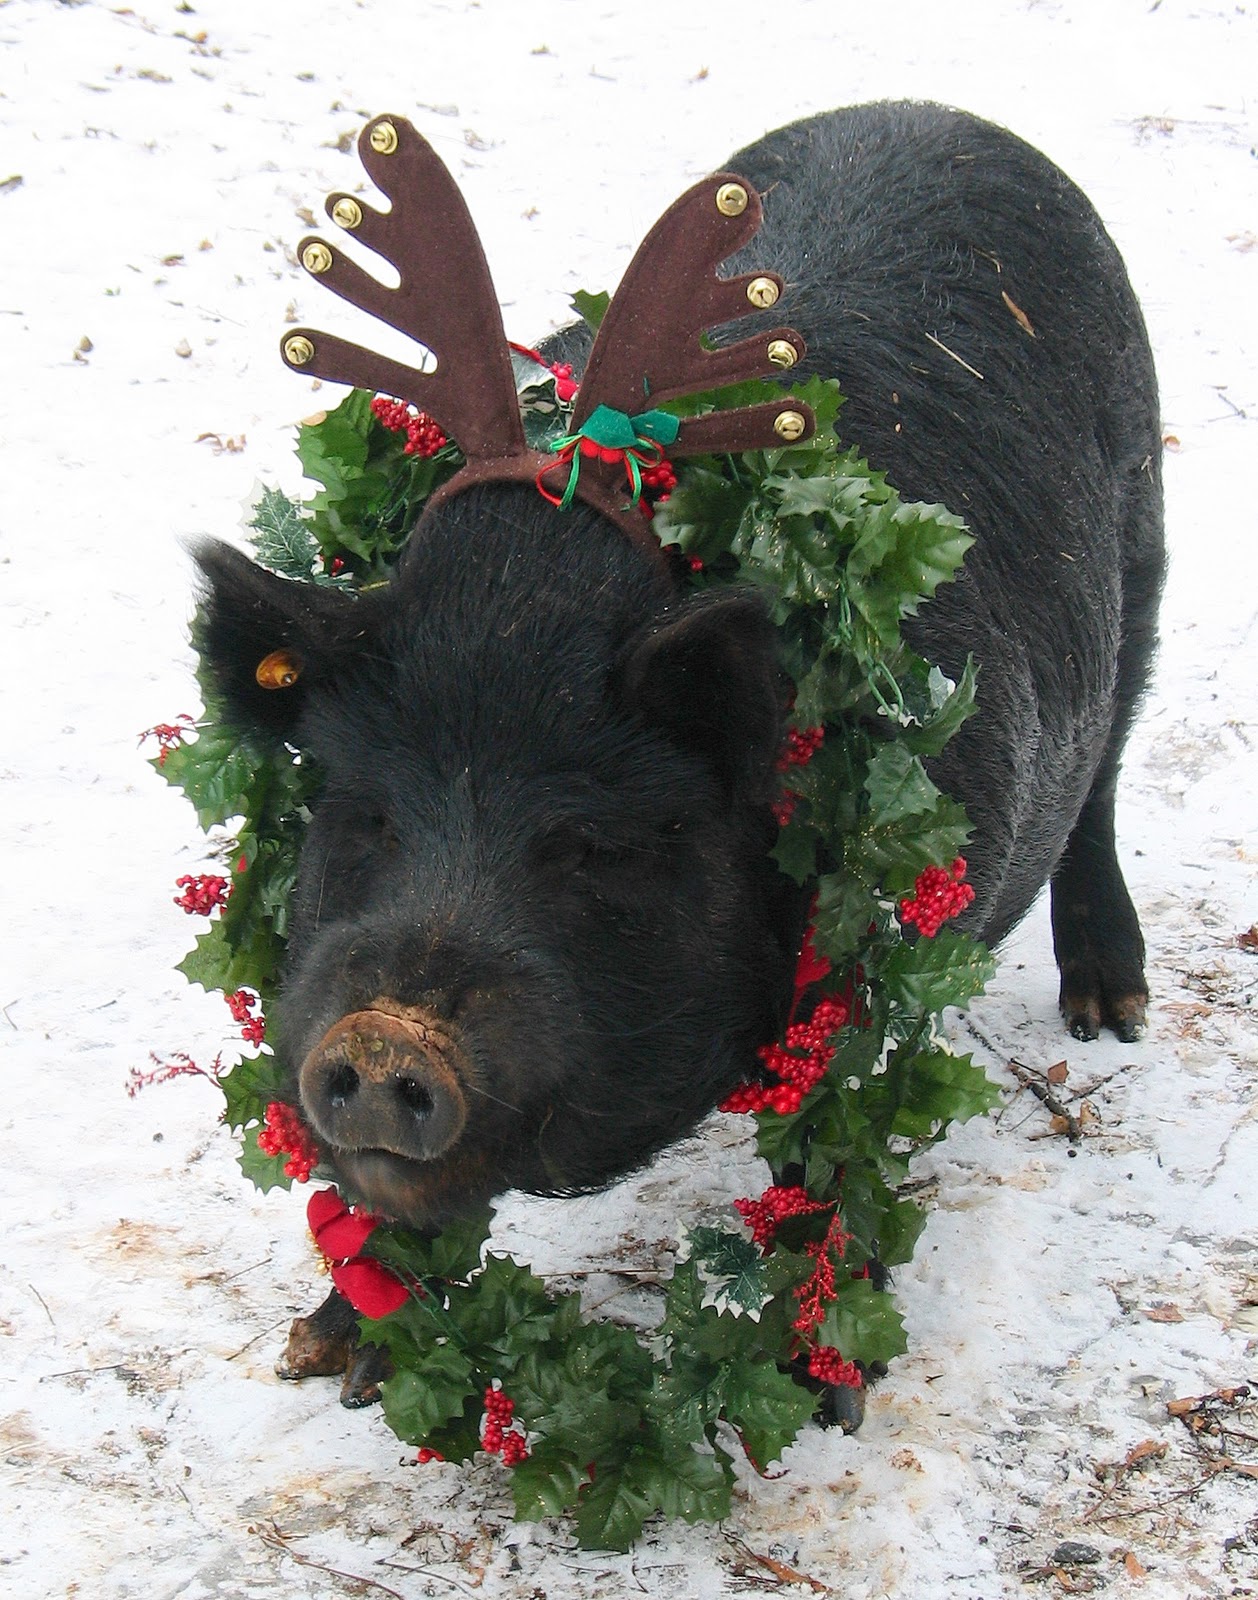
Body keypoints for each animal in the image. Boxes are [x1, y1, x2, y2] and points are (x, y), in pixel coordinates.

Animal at [194, 101, 1163, 1250]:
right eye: (367, 816)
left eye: (591, 846)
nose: (386, 1040)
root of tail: (940, 112)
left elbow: (820, 1162)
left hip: (1144, 551)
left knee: (1104, 772)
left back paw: (1110, 1015)